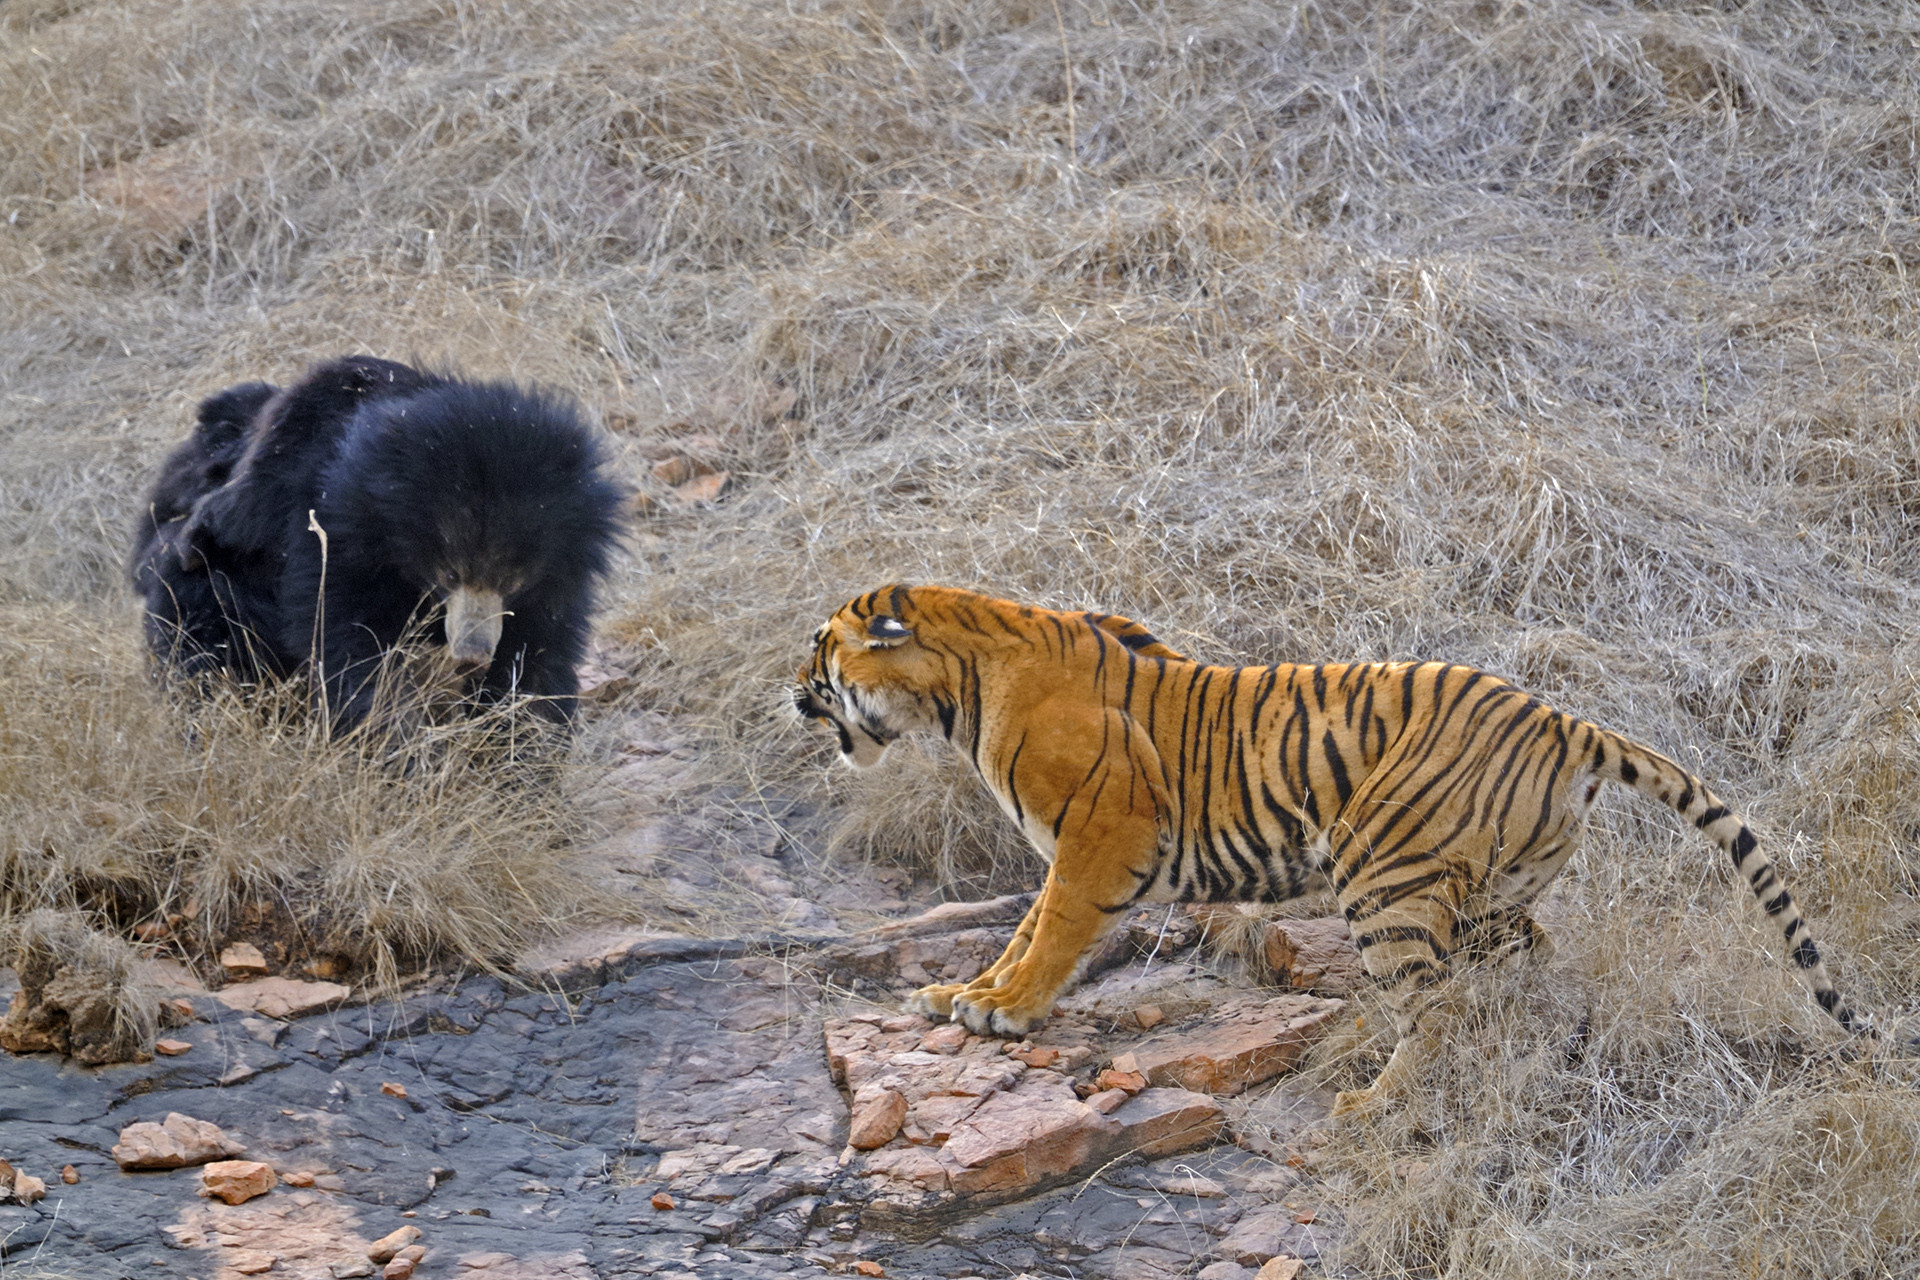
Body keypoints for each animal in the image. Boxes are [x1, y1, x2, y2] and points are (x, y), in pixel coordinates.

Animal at [794, 584, 1873, 1116]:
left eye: (820, 650)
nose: (793, 695)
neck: (957, 690)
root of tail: (1563, 719)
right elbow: (1024, 930)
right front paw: (963, 995)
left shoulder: (1102, 838)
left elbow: (1050, 930)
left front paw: (1002, 1011)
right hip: (1490, 895)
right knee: (1526, 967)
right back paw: (1532, 1047)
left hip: (1382, 874)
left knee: (1434, 1010)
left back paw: (1371, 1104)